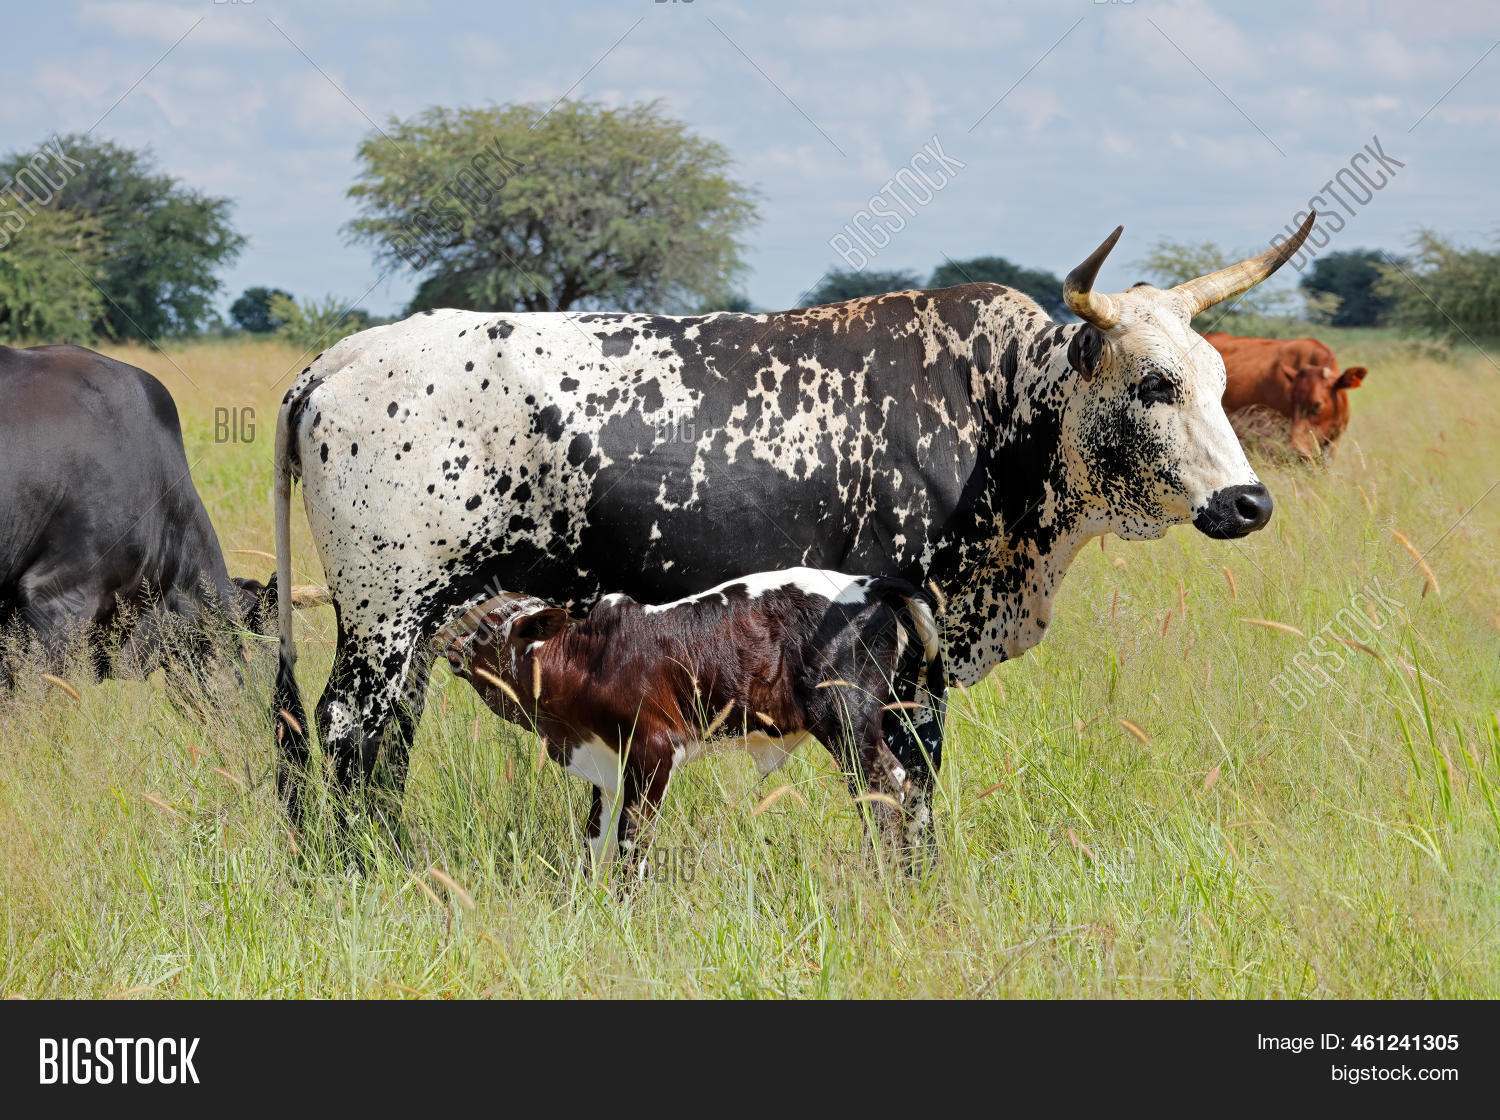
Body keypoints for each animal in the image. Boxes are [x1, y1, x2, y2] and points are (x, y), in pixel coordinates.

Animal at [434, 568, 943, 868]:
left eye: (485, 626)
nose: (443, 640)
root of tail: (872, 584)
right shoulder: (608, 763)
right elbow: (596, 840)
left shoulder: (654, 750)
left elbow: (632, 841)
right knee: (906, 782)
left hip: (846, 720)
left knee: (882, 792)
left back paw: (882, 878)